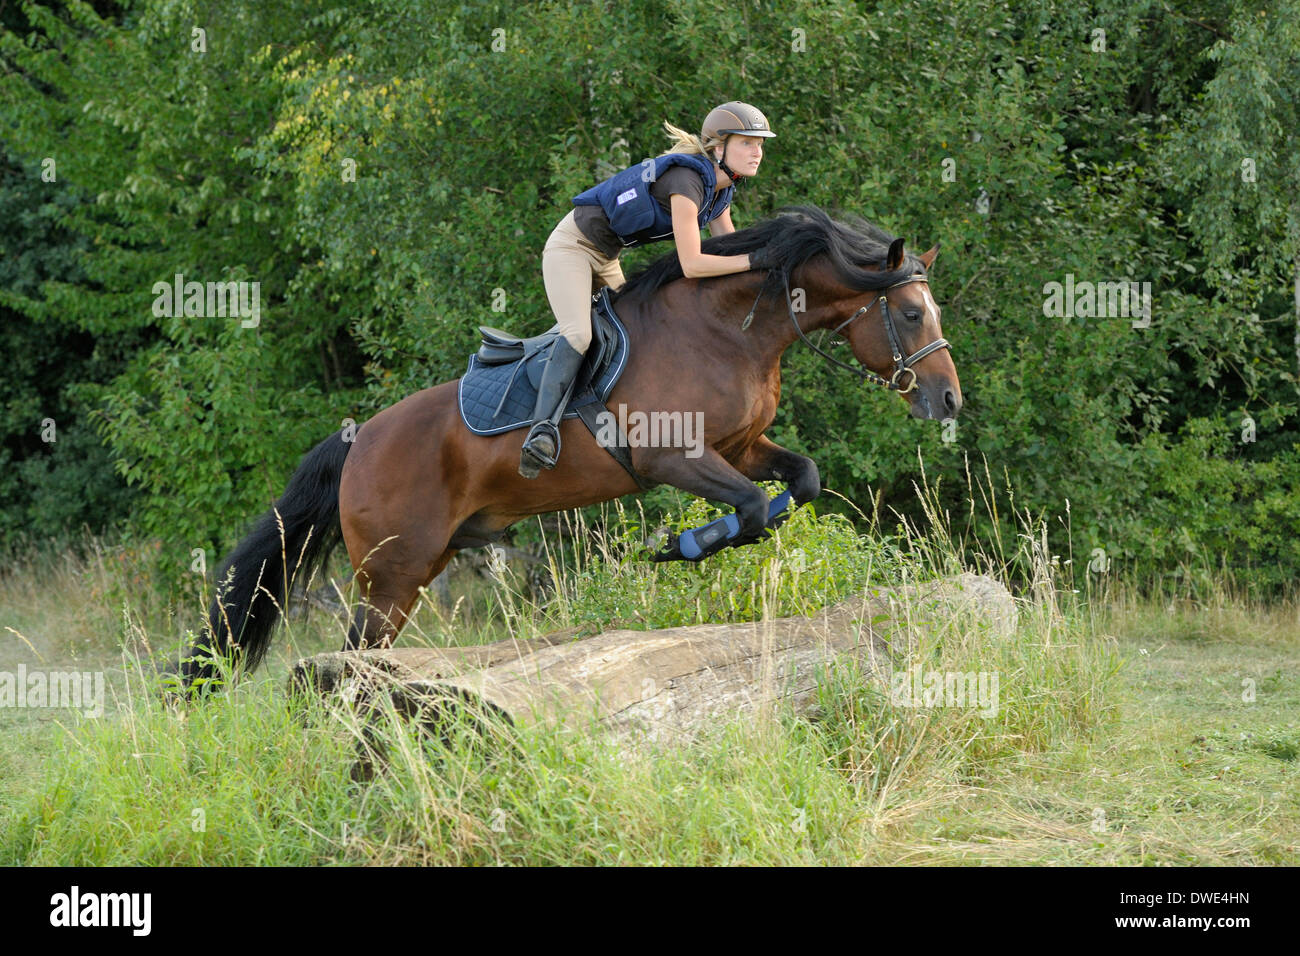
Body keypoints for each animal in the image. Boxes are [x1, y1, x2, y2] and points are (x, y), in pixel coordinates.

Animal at [179, 205, 961, 687]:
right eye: (911, 313)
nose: (950, 400)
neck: (731, 328)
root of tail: (358, 439)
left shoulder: (740, 445)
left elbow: (799, 481)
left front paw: (685, 544)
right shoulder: (675, 458)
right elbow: (748, 508)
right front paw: (674, 547)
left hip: (422, 564)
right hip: (392, 574)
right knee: (354, 657)